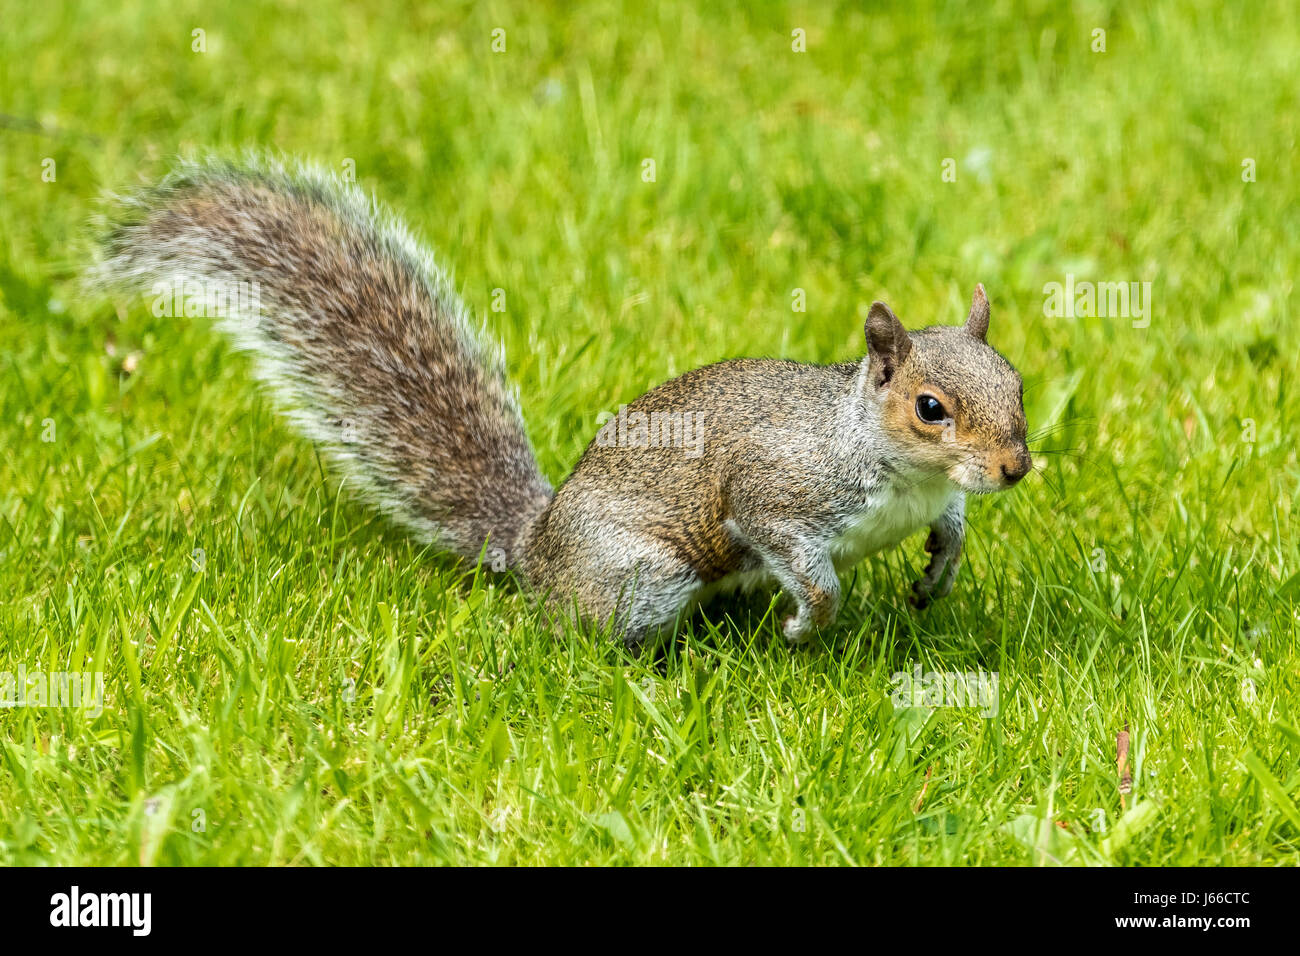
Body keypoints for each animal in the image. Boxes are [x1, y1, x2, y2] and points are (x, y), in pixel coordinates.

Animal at [94, 156, 1032, 646]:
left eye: (1016, 380)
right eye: (931, 408)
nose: (1016, 467)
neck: (897, 468)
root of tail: (535, 544)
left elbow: (951, 526)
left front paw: (940, 568)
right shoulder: (778, 491)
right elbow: (798, 556)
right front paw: (810, 625)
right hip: (642, 574)